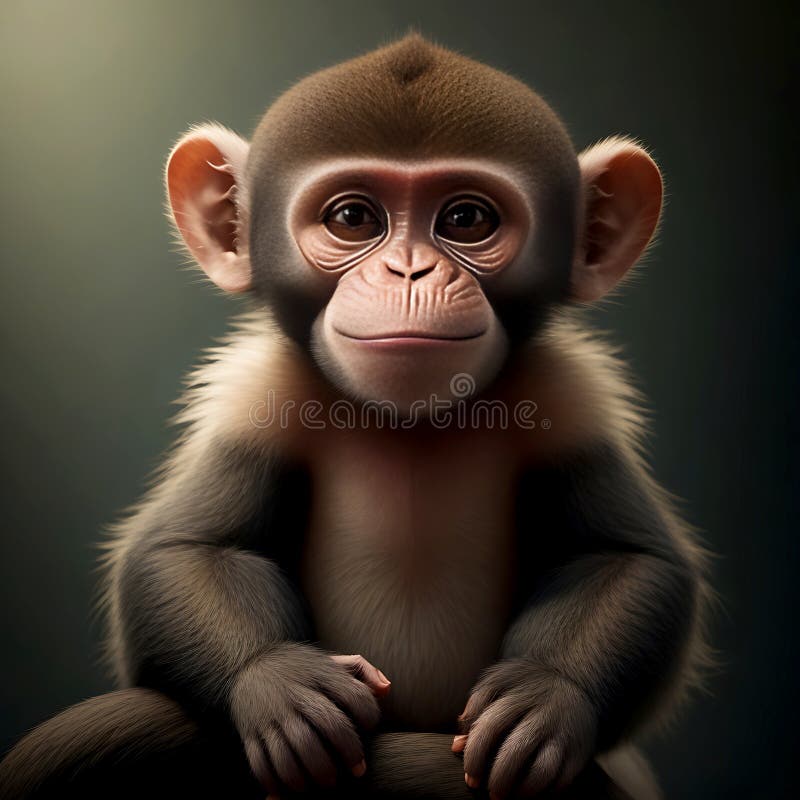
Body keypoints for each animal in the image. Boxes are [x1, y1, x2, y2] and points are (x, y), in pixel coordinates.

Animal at [0, 34, 710, 800]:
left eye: (466, 219)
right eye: (353, 219)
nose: (409, 272)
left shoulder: (568, 398)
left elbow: (630, 560)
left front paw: (545, 700)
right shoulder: (256, 397)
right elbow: (180, 551)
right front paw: (281, 684)